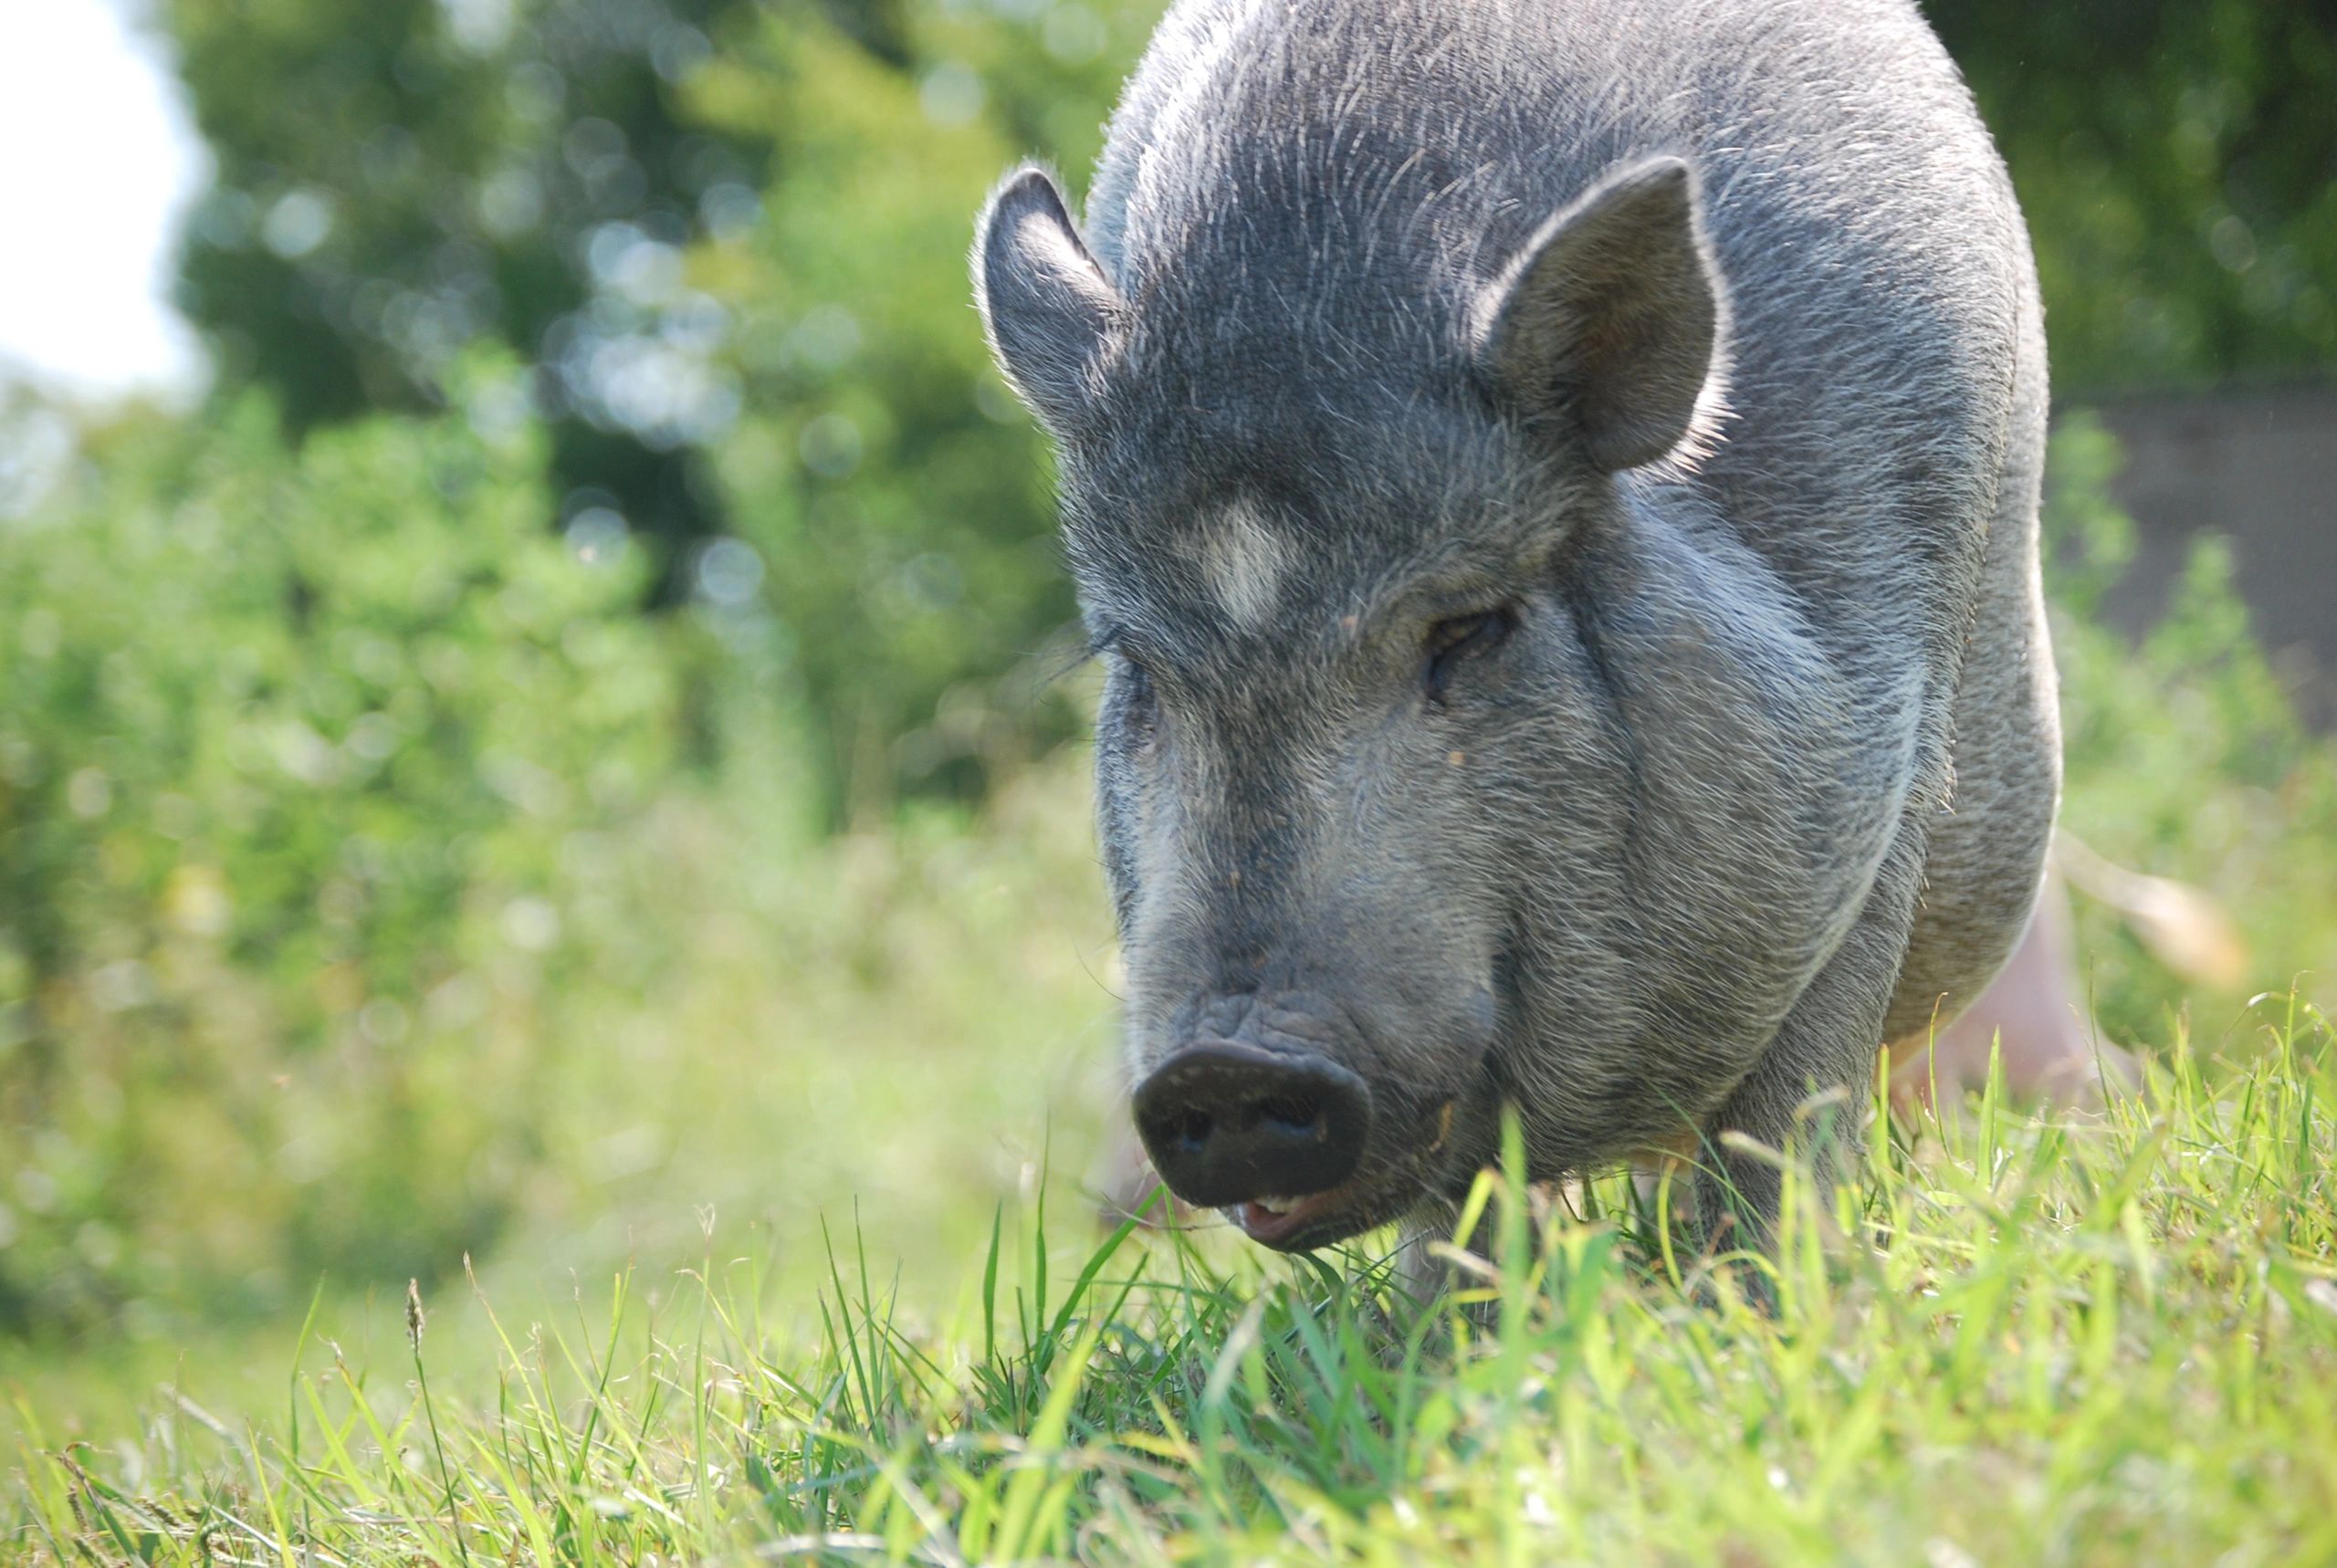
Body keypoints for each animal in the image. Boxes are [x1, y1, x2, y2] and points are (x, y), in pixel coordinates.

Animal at [973, 0, 2060, 1260]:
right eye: (1139, 666)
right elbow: (1459, 1213)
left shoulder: (1884, 764)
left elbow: (1785, 1116)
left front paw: (1758, 1284)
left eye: (1468, 626)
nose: (1223, 1069)